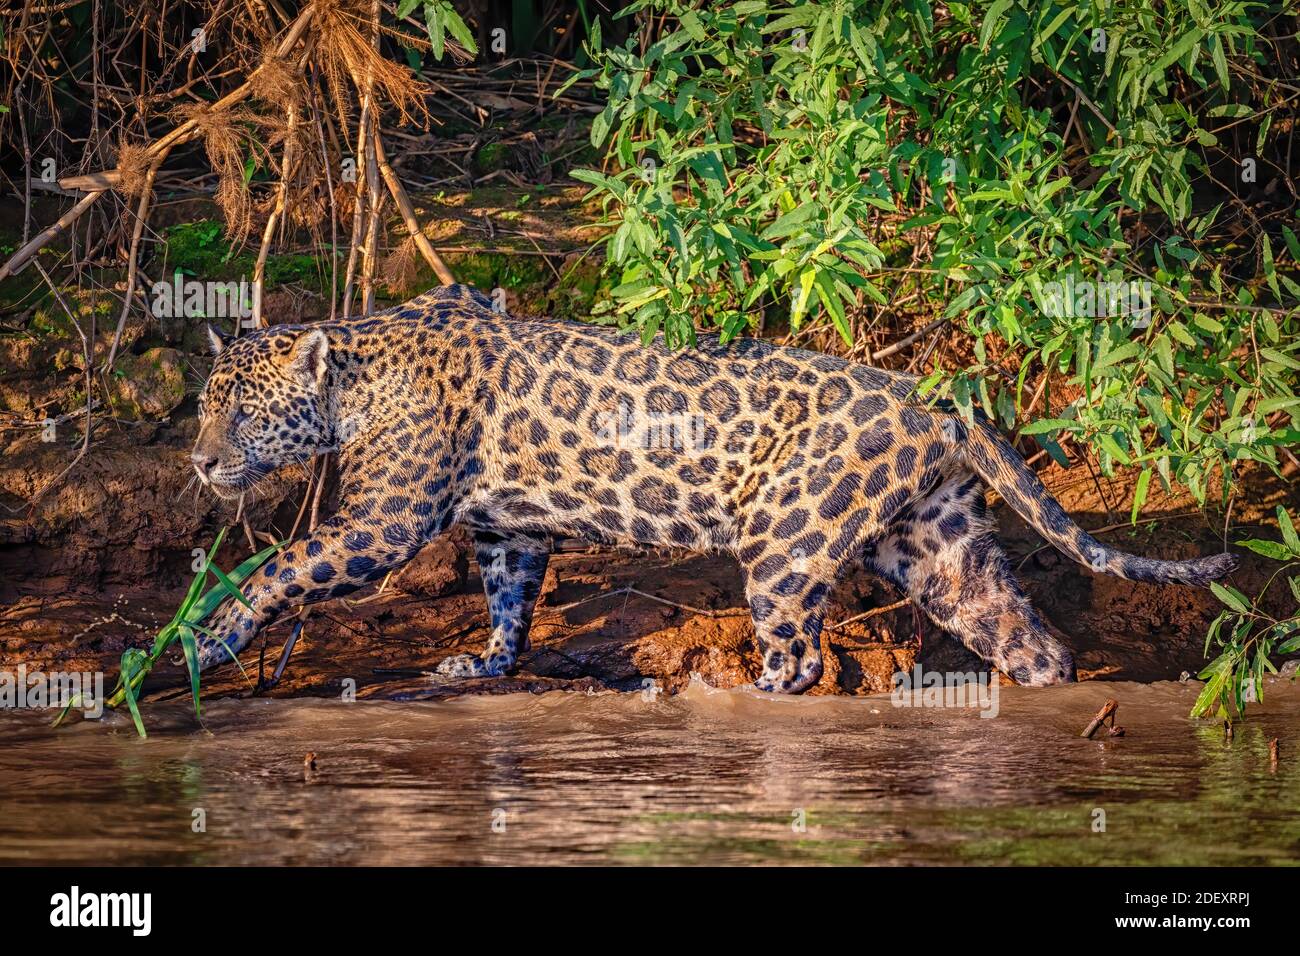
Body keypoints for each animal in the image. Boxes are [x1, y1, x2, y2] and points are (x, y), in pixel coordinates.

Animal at [190, 284, 1237, 693]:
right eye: (203, 406)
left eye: (239, 413)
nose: (199, 461)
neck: (355, 376)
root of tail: (934, 399)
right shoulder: (507, 529)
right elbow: (507, 596)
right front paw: (485, 666)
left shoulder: (383, 521)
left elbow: (279, 568)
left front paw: (209, 638)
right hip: (934, 541)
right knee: (1022, 632)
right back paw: (1043, 687)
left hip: (786, 536)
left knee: (802, 653)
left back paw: (733, 692)